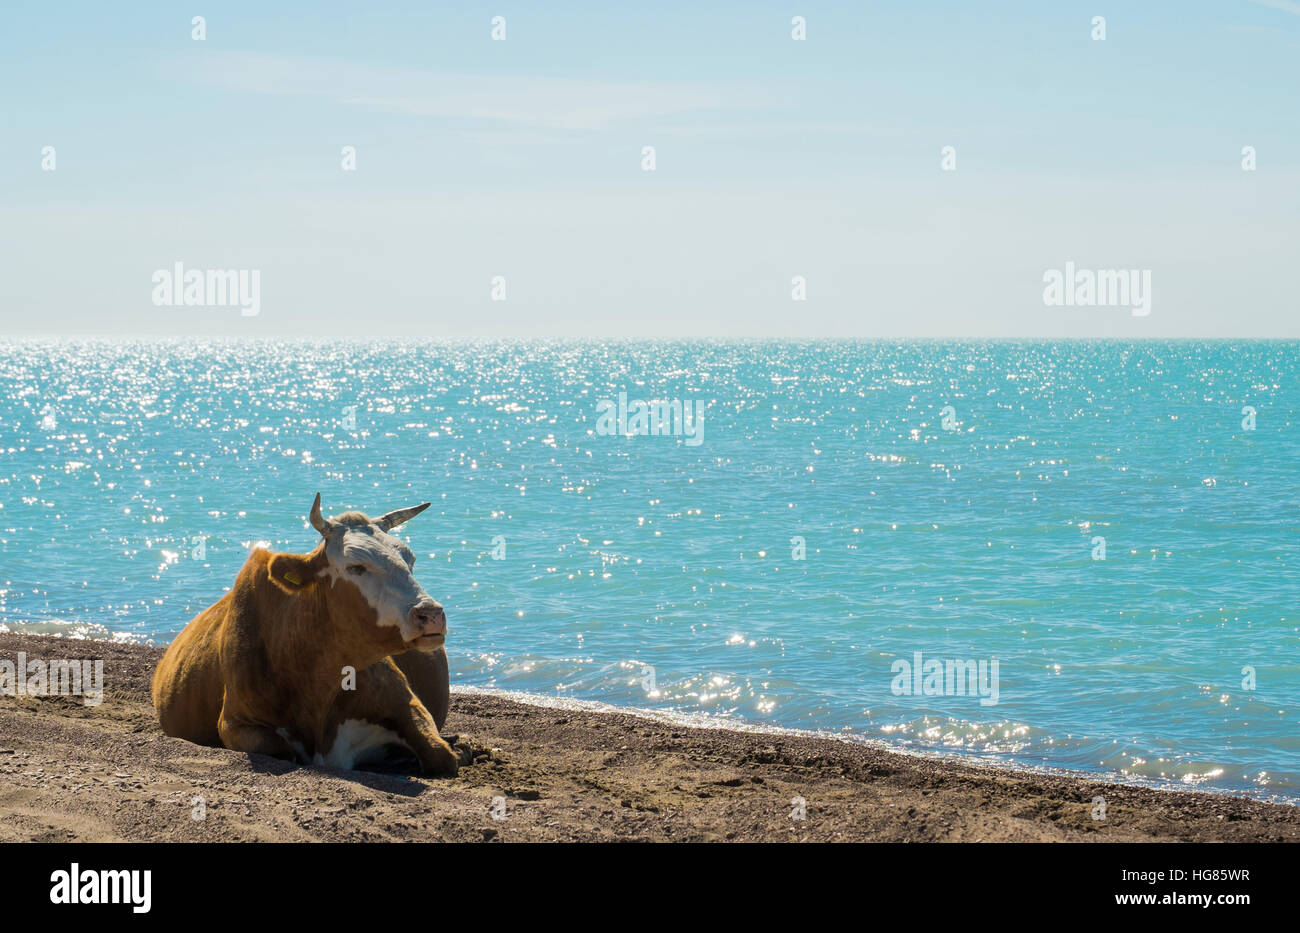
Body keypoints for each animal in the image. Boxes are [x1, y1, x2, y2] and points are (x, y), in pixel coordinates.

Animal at [151, 493, 464, 775]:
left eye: (410, 560)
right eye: (356, 566)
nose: (431, 614)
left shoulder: (406, 705)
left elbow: (441, 755)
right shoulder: (235, 723)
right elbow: (282, 751)